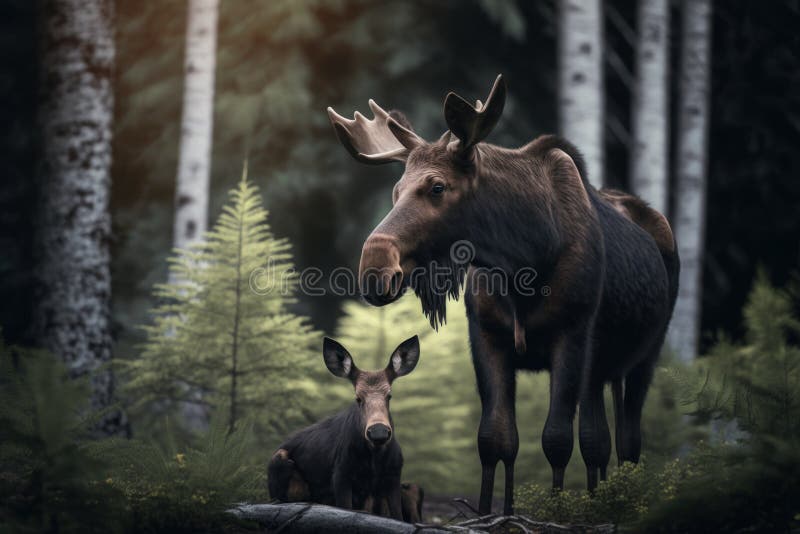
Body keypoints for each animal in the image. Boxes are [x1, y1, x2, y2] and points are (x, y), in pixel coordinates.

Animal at [267, 336, 422, 522]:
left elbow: (398, 516)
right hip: (279, 464)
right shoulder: (341, 474)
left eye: (389, 396)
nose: (378, 432)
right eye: (358, 398)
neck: (374, 459)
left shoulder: (394, 474)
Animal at [327, 75, 680, 515]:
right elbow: (496, 438)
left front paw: (556, 511)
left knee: (628, 442)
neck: (523, 260)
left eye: (438, 186)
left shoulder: (572, 334)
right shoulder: (487, 336)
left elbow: (556, 439)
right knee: (599, 441)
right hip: (600, 370)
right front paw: (497, 511)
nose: (375, 269)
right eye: (396, 190)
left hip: (645, 355)